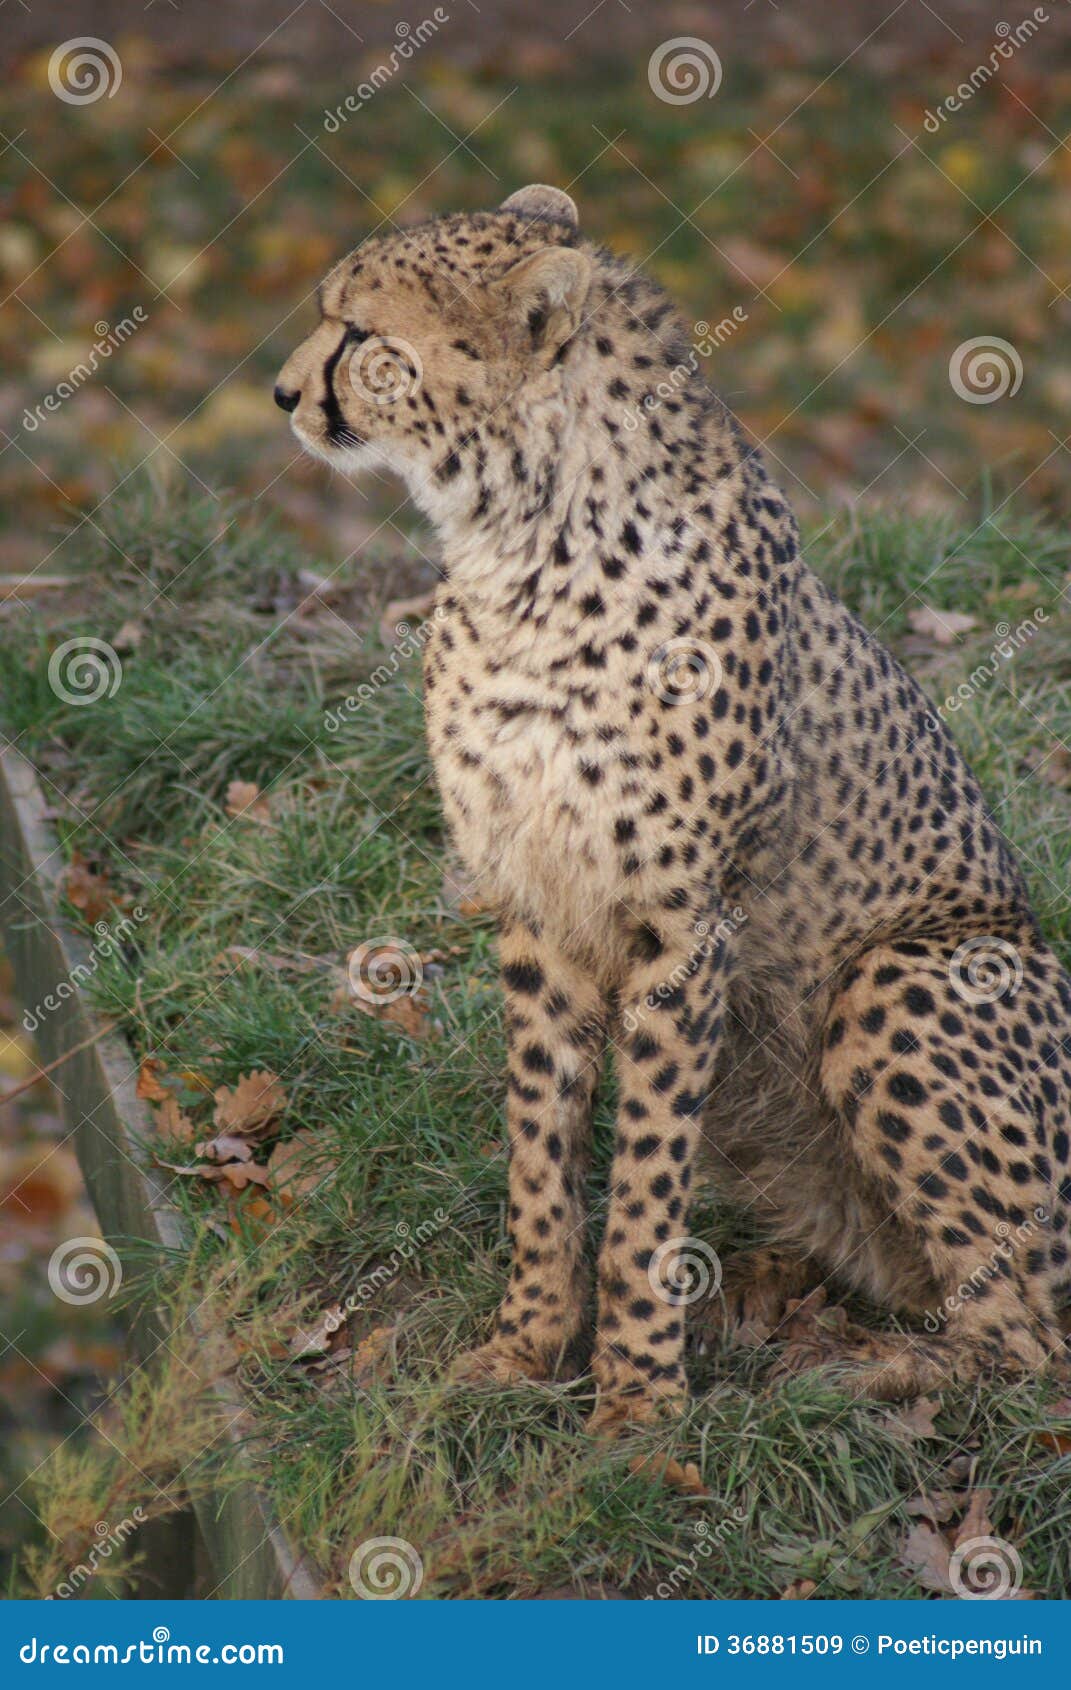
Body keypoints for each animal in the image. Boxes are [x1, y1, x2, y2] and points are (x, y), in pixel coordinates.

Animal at [275, 183, 1071, 1430]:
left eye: (359, 333)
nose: (281, 391)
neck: (522, 539)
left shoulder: (684, 922)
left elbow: (645, 1187)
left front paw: (639, 1411)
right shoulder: (538, 901)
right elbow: (539, 1155)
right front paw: (525, 1351)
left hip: (906, 972)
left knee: (1031, 1341)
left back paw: (863, 1372)